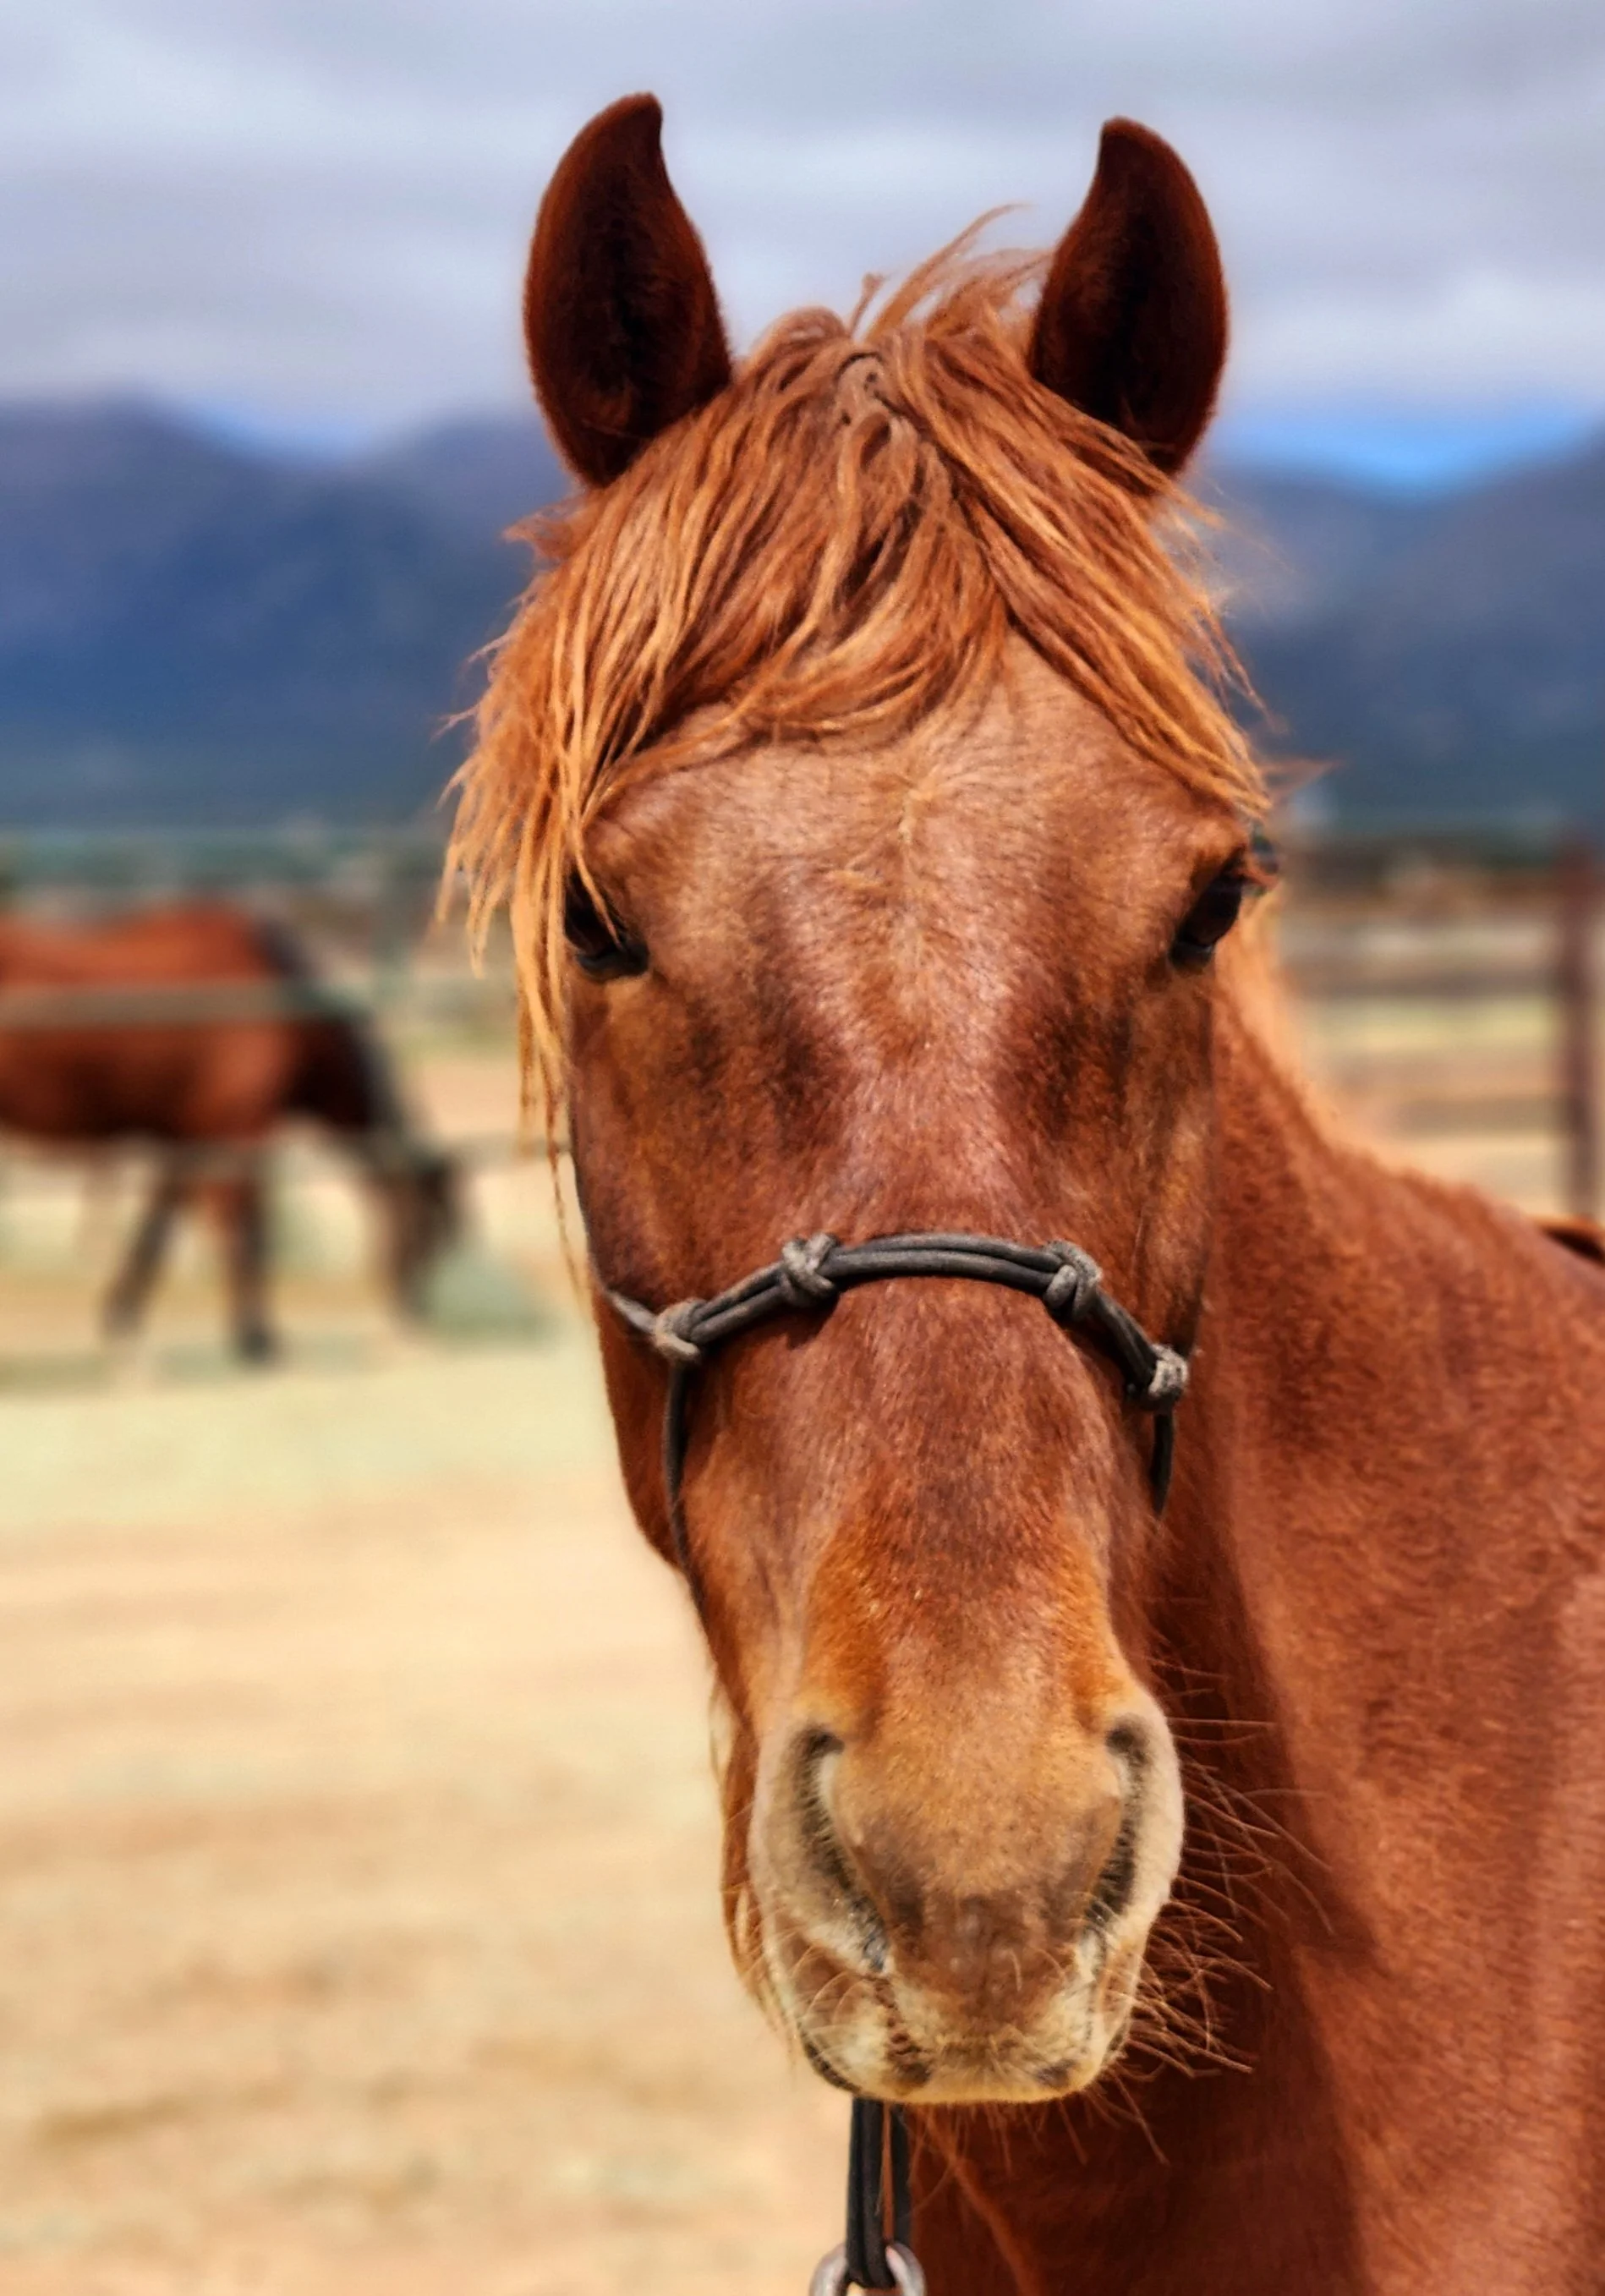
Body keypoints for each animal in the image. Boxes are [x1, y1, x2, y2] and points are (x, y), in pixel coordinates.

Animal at [0, 902, 459, 1359]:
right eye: (426, 1233)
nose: (414, 1320)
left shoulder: (192, 1136)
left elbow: (158, 1227)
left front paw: (121, 1315)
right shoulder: (241, 1132)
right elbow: (249, 1229)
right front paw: (256, 1337)